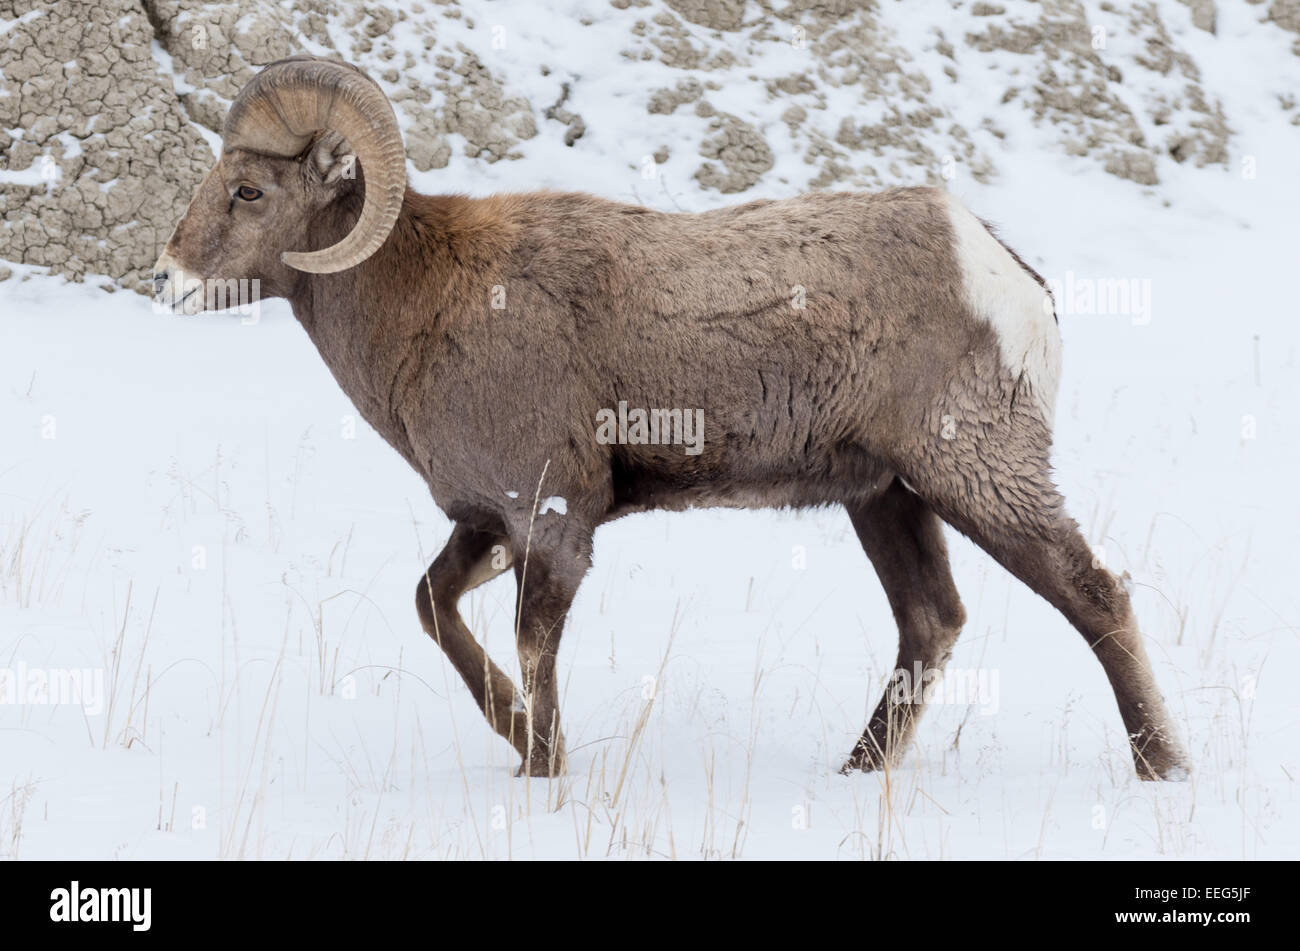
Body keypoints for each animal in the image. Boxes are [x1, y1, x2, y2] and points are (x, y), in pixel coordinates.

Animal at [152, 56, 1190, 780]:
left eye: (249, 190)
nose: (167, 280)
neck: (426, 303)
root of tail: (1003, 271)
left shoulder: (552, 520)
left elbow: (533, 644)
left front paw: (542, 770)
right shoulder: (487, 522)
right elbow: (434, 607)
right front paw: (519, 738)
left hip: (975, 474)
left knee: (1094, 594)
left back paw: (1162, 769)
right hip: (887, 498)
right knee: (931, 622)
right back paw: (856, 772)